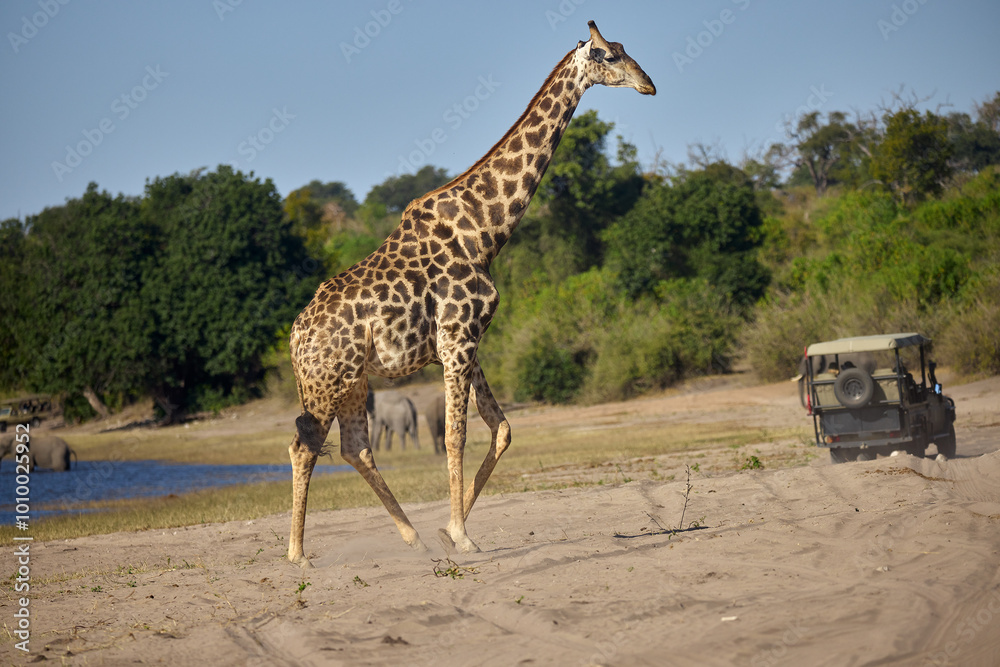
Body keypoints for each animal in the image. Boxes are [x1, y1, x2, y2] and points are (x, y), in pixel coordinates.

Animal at [287, 20, 655, 567]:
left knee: (355, 447)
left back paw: (412, 537)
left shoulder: (467, 341)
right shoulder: (457, 339)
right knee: (304, 445)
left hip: (353, 381)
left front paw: (447, 529)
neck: (485, 231)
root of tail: (294, 339)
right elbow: (456, 435)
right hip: (325, 381)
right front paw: (460, 534)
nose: (648, 85)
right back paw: (297, 554)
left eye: (626, 49)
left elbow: (500, 427)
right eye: (609, 55)